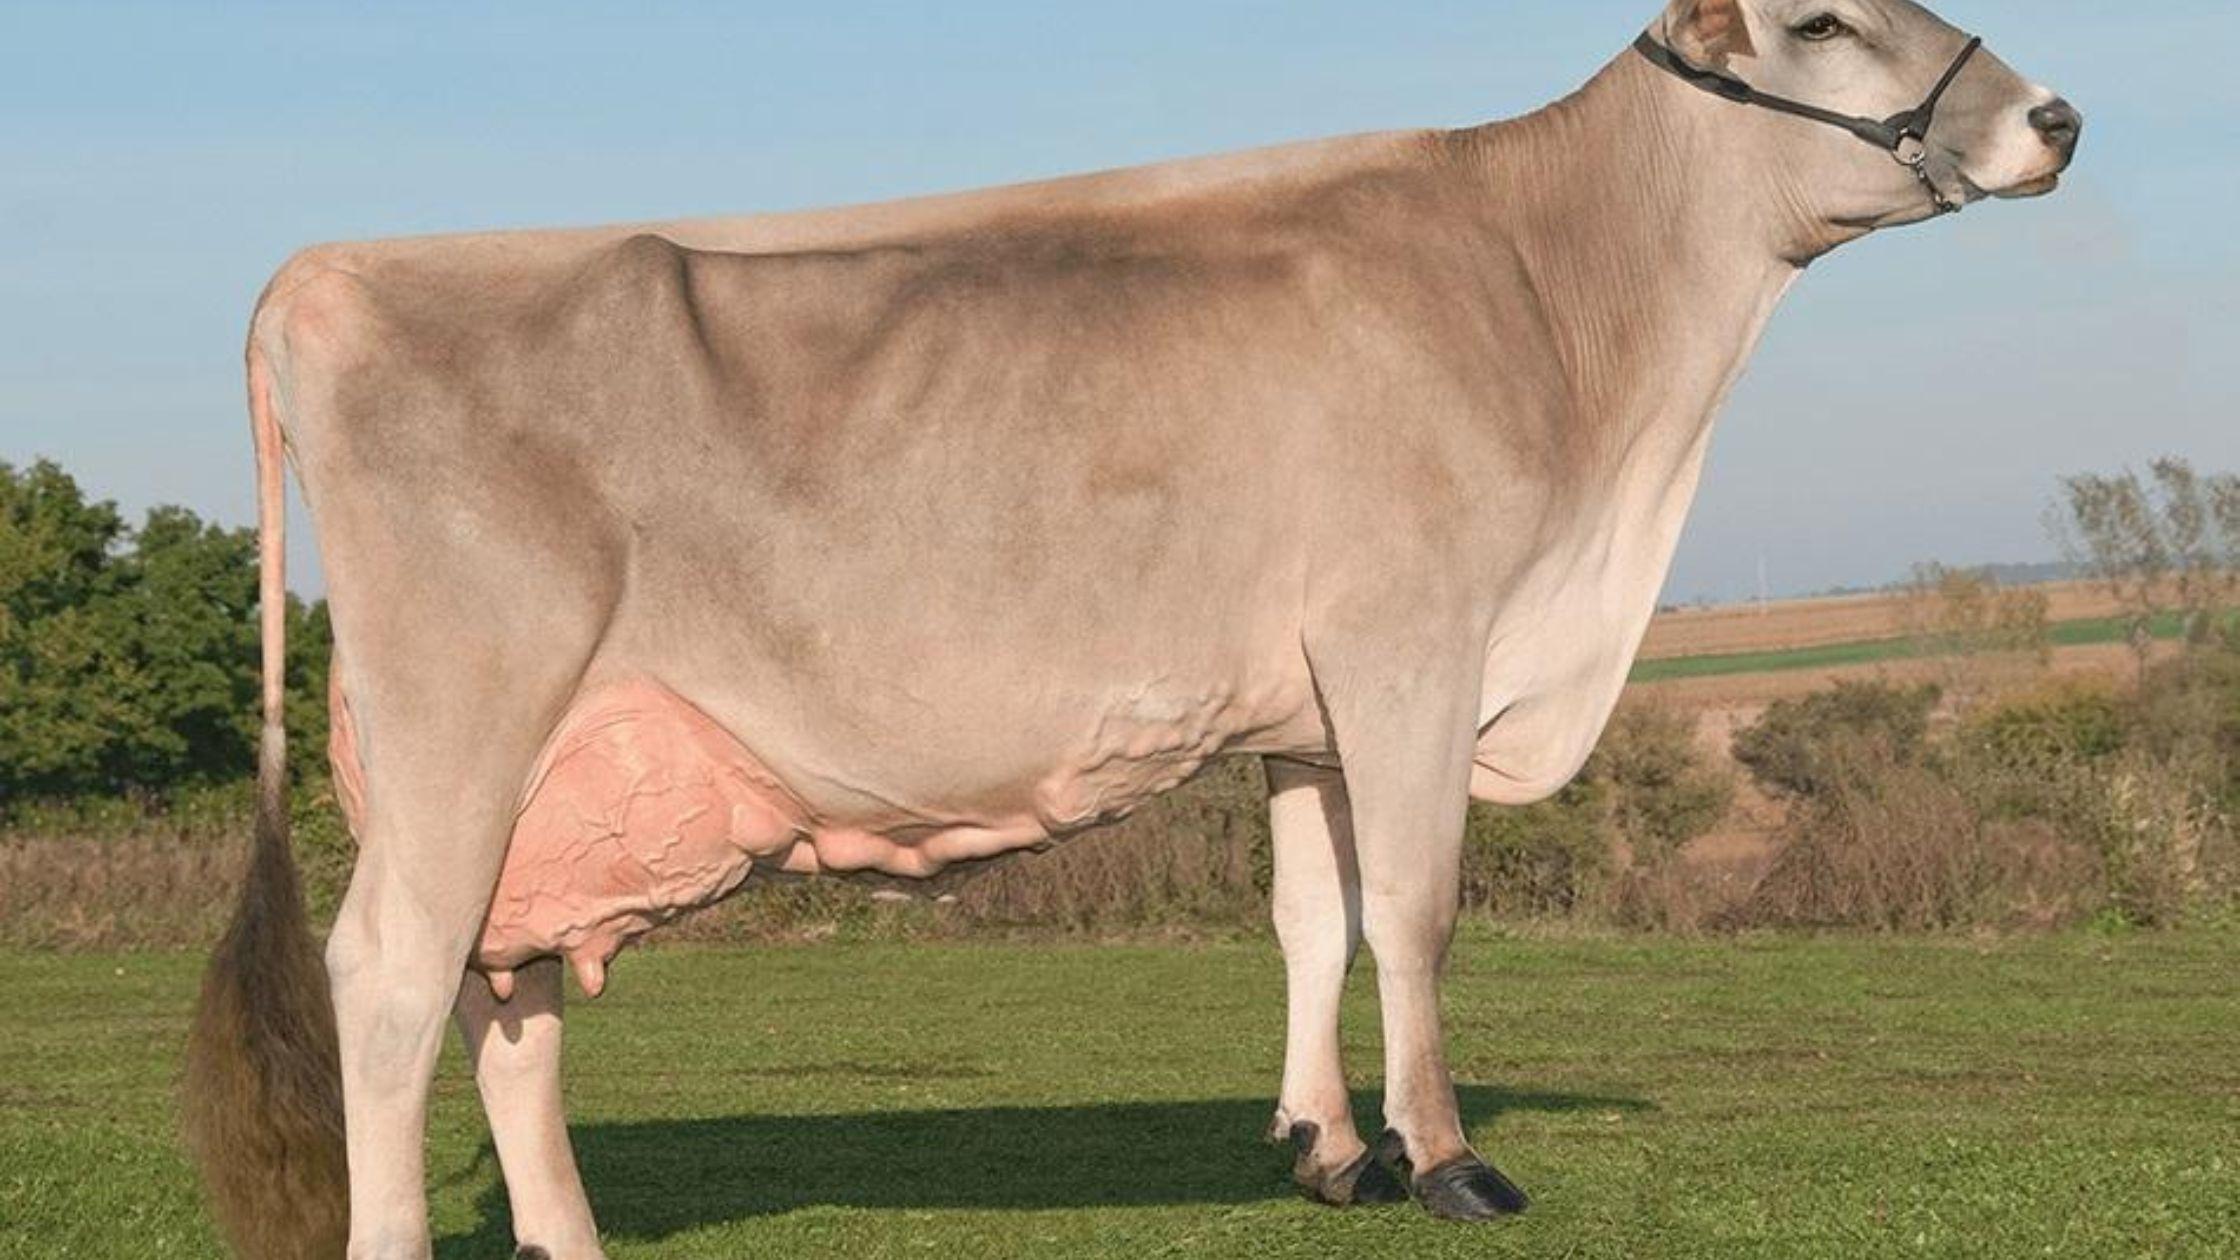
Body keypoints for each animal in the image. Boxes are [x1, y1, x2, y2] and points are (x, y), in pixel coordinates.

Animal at [181, 1, 2079, 1255]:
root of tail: (327, 274)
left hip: (556, 782)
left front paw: (1328, 1146)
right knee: (390, 981)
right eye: (1823, 20)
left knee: (507, 998)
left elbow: (1315, 918)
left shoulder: (1307, 704)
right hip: (460, 724)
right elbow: (1418, 910)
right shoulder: (1413, 639)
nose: (2056, 115)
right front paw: (1447, 1157)